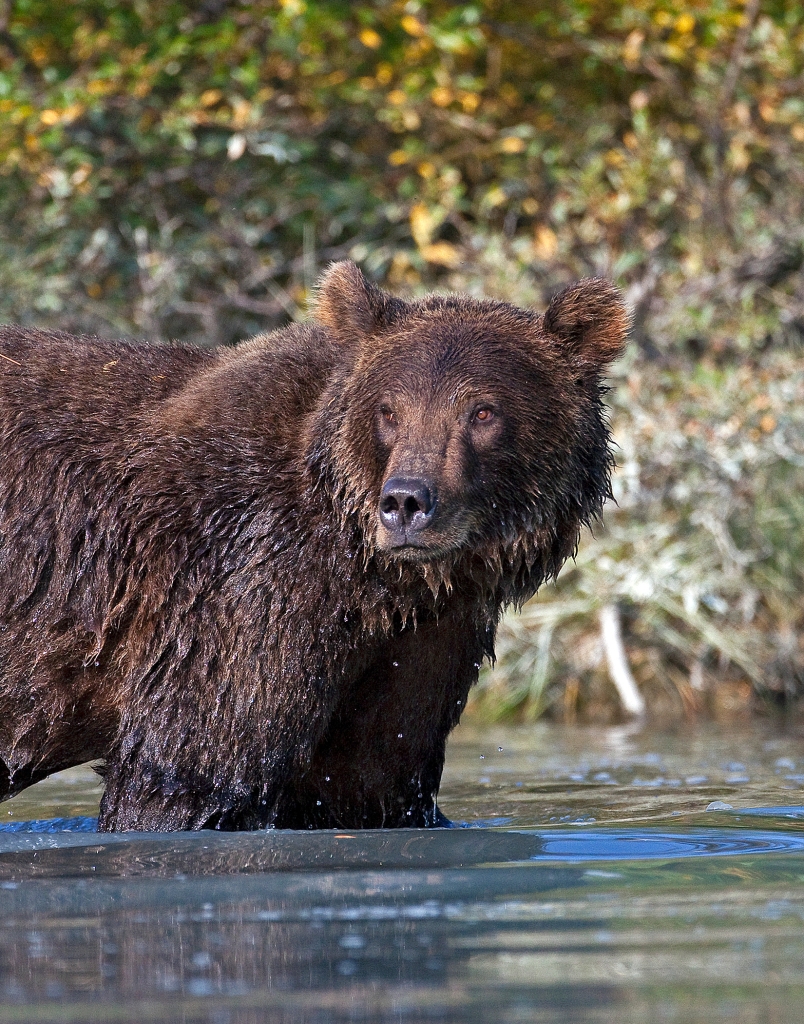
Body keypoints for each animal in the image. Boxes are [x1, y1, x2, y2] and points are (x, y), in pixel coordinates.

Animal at [0, 262, 627, 832]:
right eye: (389, 409)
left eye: (483, 411)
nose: (406, 502)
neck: (368, 572)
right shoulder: (234, 590)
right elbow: (187, 772)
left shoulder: (418, 641)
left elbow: (371, 781)